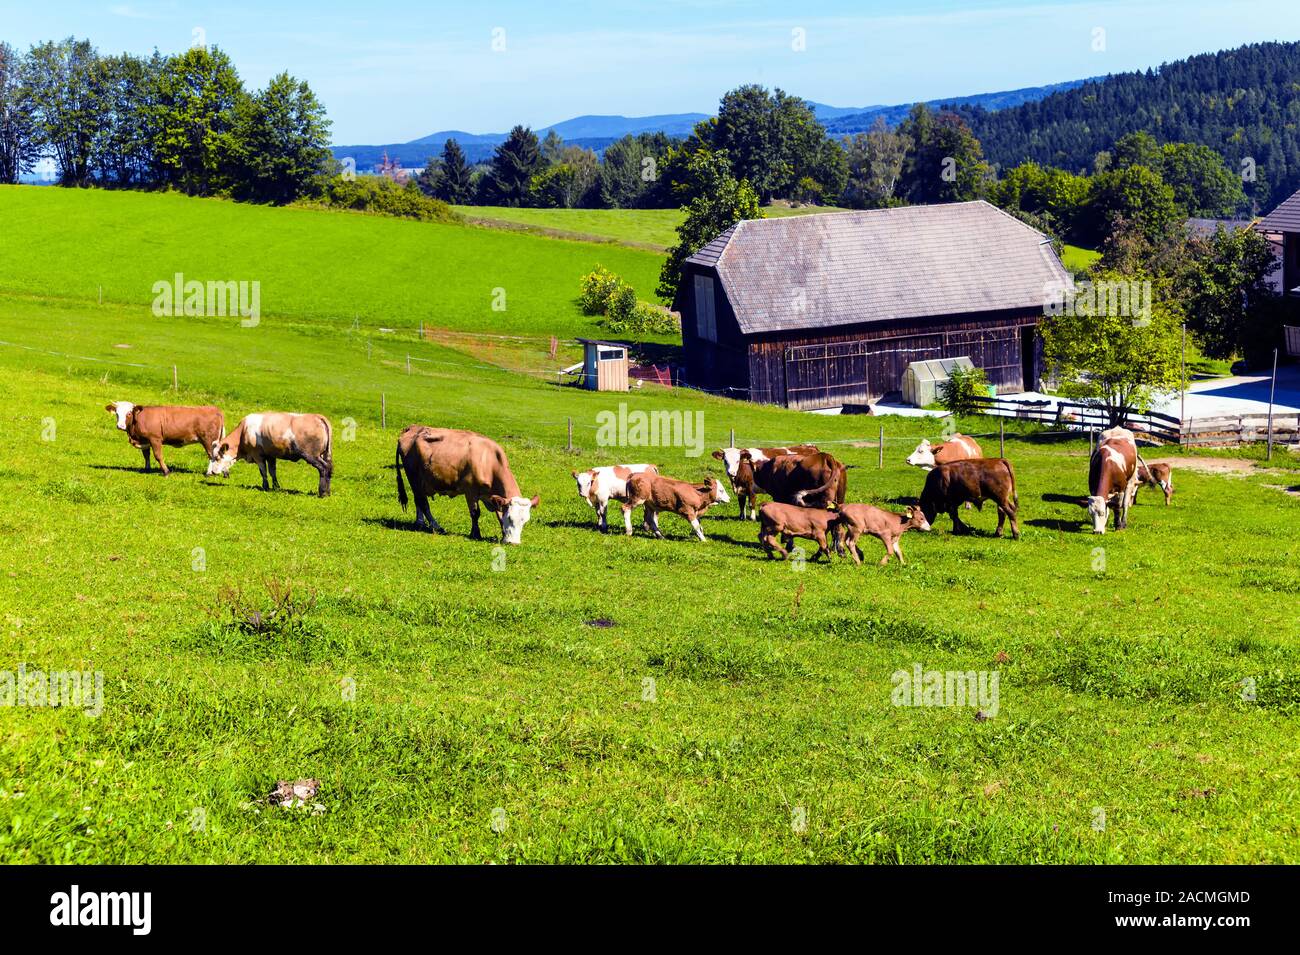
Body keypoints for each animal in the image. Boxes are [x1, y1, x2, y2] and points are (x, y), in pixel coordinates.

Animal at [395, 425, 538, 544]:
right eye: (510, 518)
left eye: (525, 521)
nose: (514, 543)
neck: (489, 461)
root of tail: (412, 428)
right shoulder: (470, 491)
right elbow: (475, 513)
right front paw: (476, 534)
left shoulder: (495, 497)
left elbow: (499, 515)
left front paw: (503, 535)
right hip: (414, 477)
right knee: (423, 502)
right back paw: (436, 526)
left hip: (420, 482)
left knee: (418, 499)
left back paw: (420, 523)